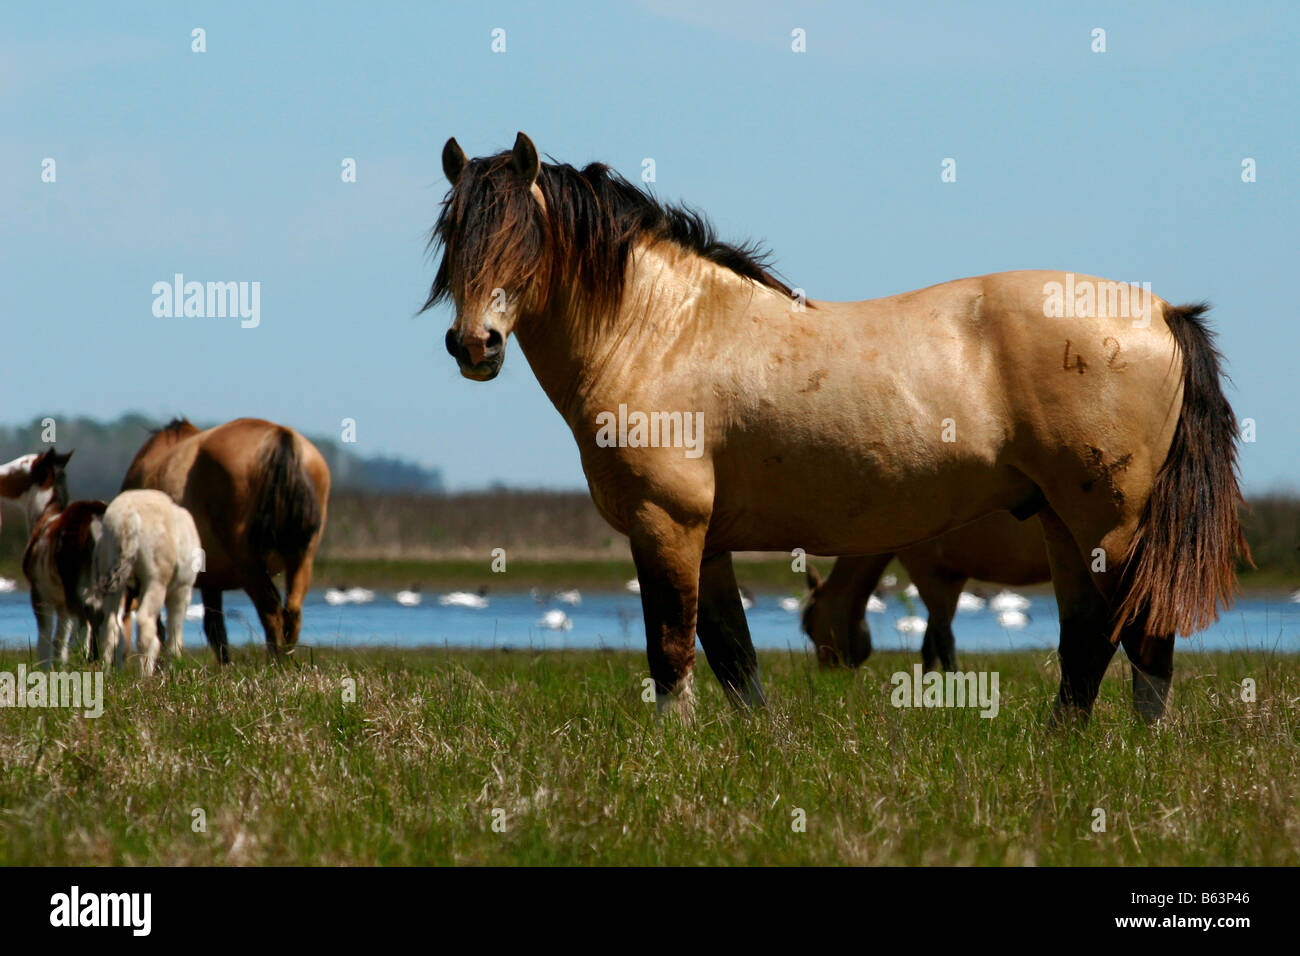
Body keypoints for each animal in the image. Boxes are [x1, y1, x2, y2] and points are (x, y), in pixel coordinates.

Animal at [6, 450, 107, 669]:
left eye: (21, 465)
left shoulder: (40, 592)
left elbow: (46, 637)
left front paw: (46, 669)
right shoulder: (60, 600)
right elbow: (61, 638)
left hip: (76, 583)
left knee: (89, 619)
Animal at [93, 490, 202, 675]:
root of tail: (127, 519)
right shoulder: (182, 591)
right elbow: (174, 640)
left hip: (114, 578)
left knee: (109, 626)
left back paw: (106, 673)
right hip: (156, 581)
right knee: (145, 624)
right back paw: (144, 675)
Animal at [121, 418, 331, 662]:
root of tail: (280, 436)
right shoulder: (210, 580)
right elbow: (215, 630)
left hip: (249, 564)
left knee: (271, 611)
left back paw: (276, 663)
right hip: (301, 558)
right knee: (292, 612)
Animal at [802, 511, 1050, 671]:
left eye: (809, 628)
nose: (828, 675)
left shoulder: (927, 575)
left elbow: (942, 643)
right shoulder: (952, 580)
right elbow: (931, 646)